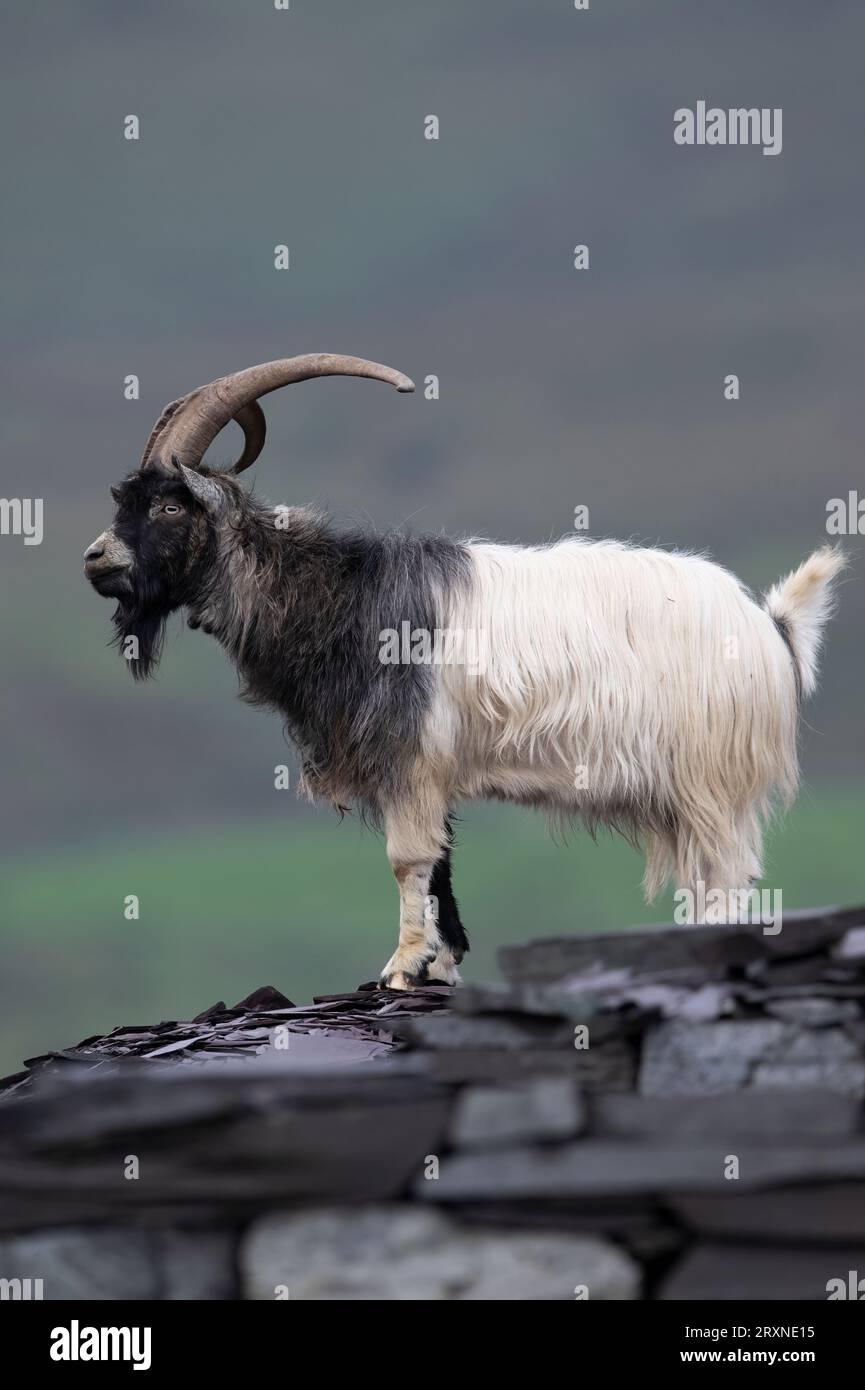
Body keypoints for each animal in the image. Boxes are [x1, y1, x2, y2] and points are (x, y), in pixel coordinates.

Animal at [85, 354, 843, 989]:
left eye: (169, 504)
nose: (96, 560)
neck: (335, 593)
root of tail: (770, 626)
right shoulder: (428, 766)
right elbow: (442, 860)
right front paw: (439, 964)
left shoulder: (409, 755)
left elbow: (408, 857)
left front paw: (400, 967)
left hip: (710, 783)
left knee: (727, 880)